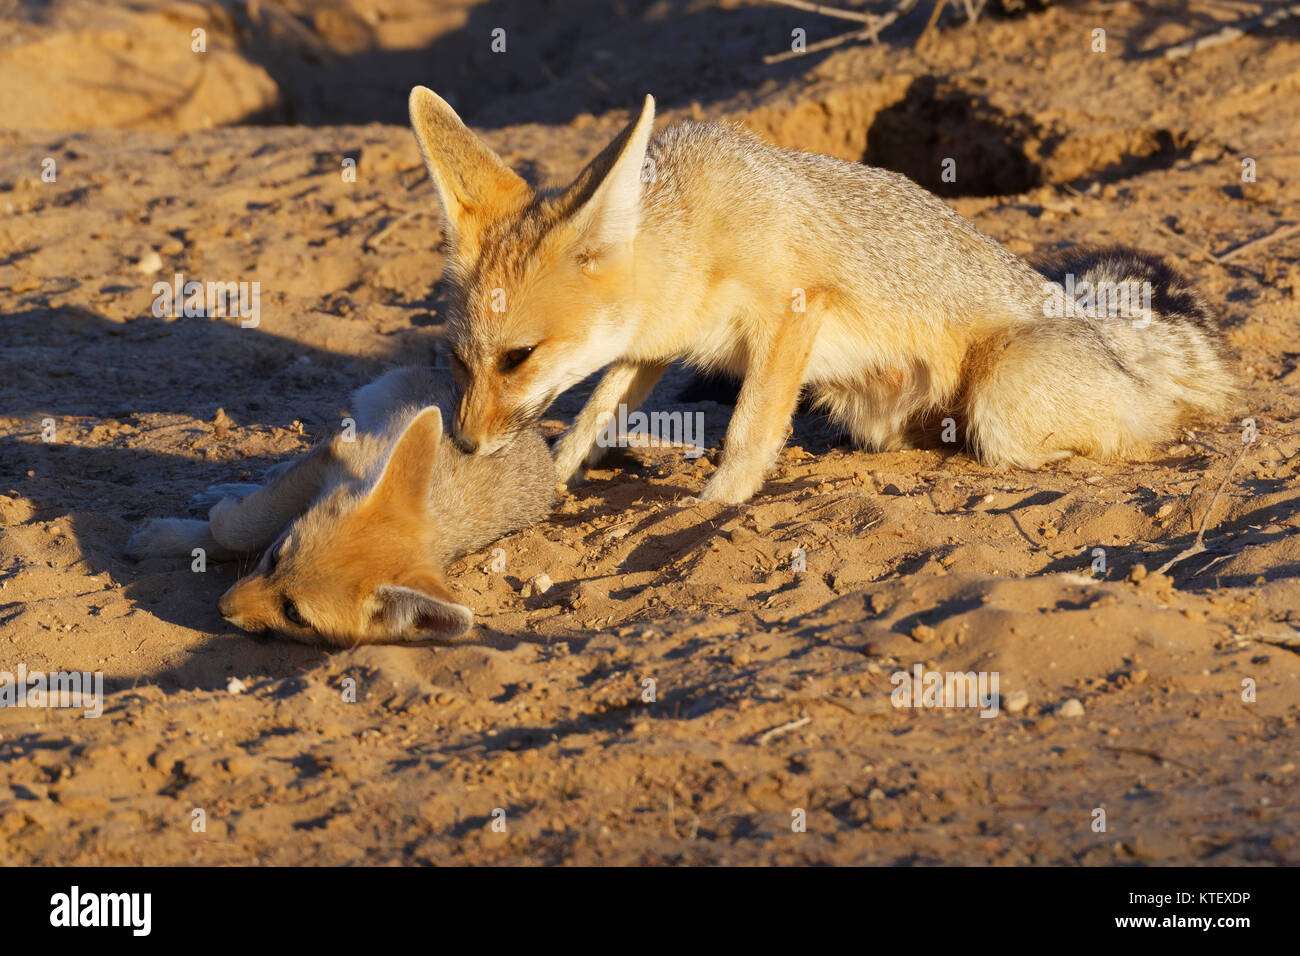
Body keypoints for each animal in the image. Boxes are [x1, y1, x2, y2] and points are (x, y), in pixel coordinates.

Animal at [125, 367, 556, 646]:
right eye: (275, 557)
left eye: (294, 614)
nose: (221, 607)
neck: (440, 513)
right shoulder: (334, 457)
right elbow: (241, 527)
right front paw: (180, 532)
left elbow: (240, 531)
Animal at [407, 87, 1237, 505]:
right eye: (461, 361)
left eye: (518, 357)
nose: (467, 444)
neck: (694, 233)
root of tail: (1093, 323)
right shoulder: (652, 346)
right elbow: (591, 415)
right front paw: (551, 480)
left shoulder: (795, 309)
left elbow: (749, 430)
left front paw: (713, 506)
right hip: (872, 411)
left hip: (1001, 395)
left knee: (1126, 433)